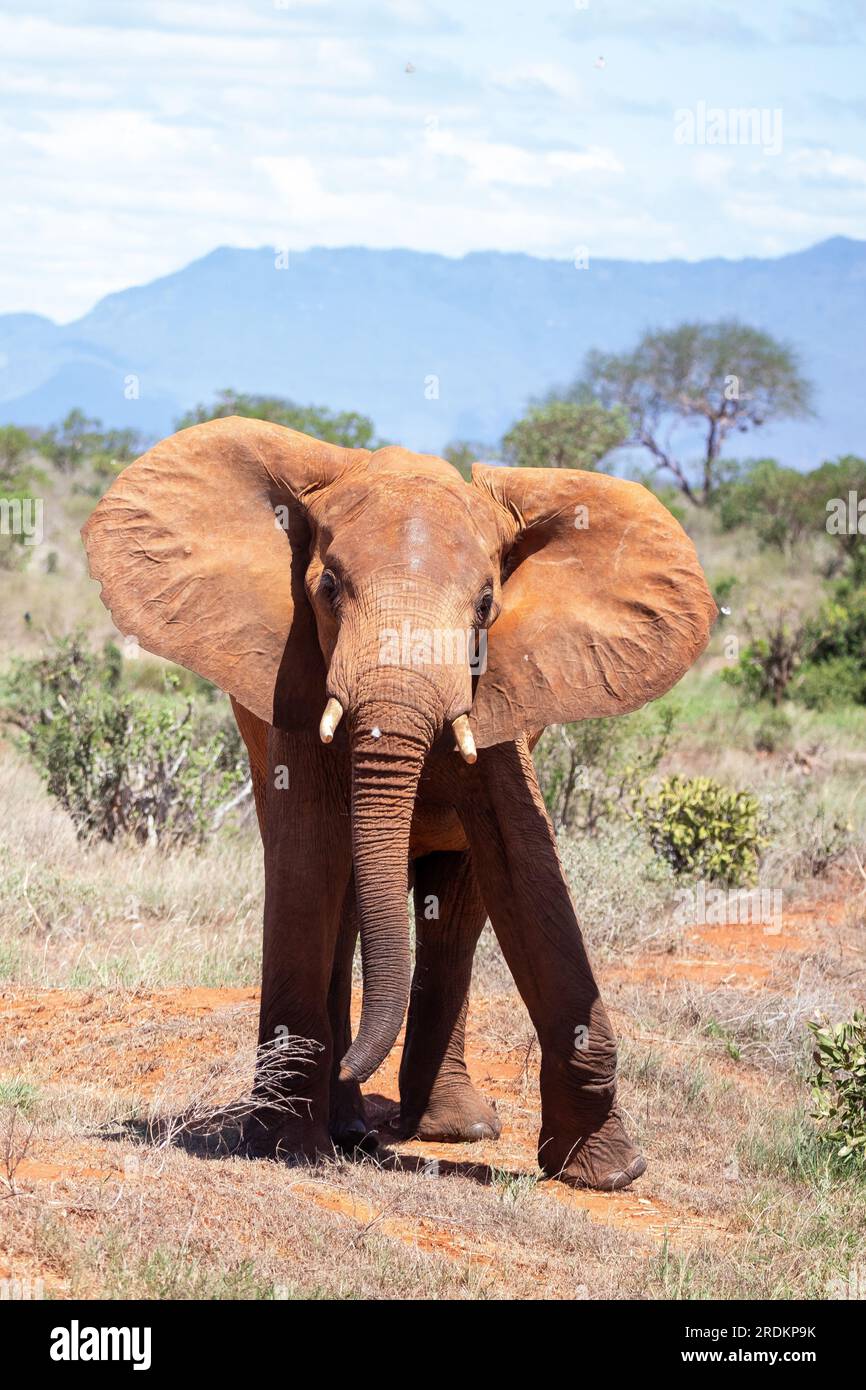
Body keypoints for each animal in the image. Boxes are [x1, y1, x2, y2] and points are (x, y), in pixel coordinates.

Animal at [81, 417, 715, 1190]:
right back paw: (352, 1124)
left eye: (486, 606)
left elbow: (524, 863)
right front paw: (286, 1148)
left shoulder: (498, 693)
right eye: (327, 588)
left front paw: (609, 1173)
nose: (353, 1067)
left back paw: (449, 1128)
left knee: (457, 904)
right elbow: (309, 852)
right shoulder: (294, 673)